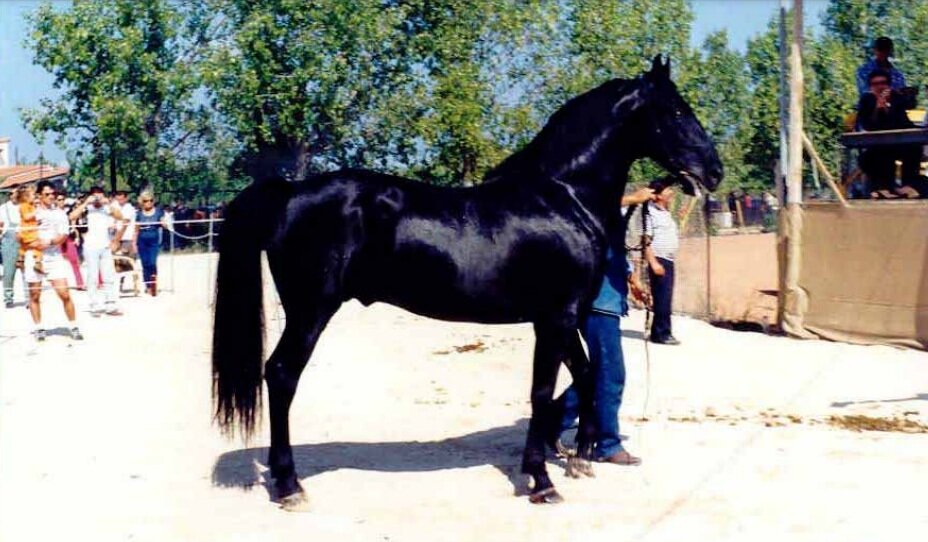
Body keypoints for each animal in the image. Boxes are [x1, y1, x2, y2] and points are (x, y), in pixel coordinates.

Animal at [212, 55, 723, 509]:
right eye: (676, 111)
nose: (713, 171)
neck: (562, 196)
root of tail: (289, 192)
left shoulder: (568, 316)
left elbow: (586, 375)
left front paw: (577, 456)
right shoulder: (554, 319)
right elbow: (543, 391)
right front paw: (540, 481)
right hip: (310, 310)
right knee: (281, 375)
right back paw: (289, 486)